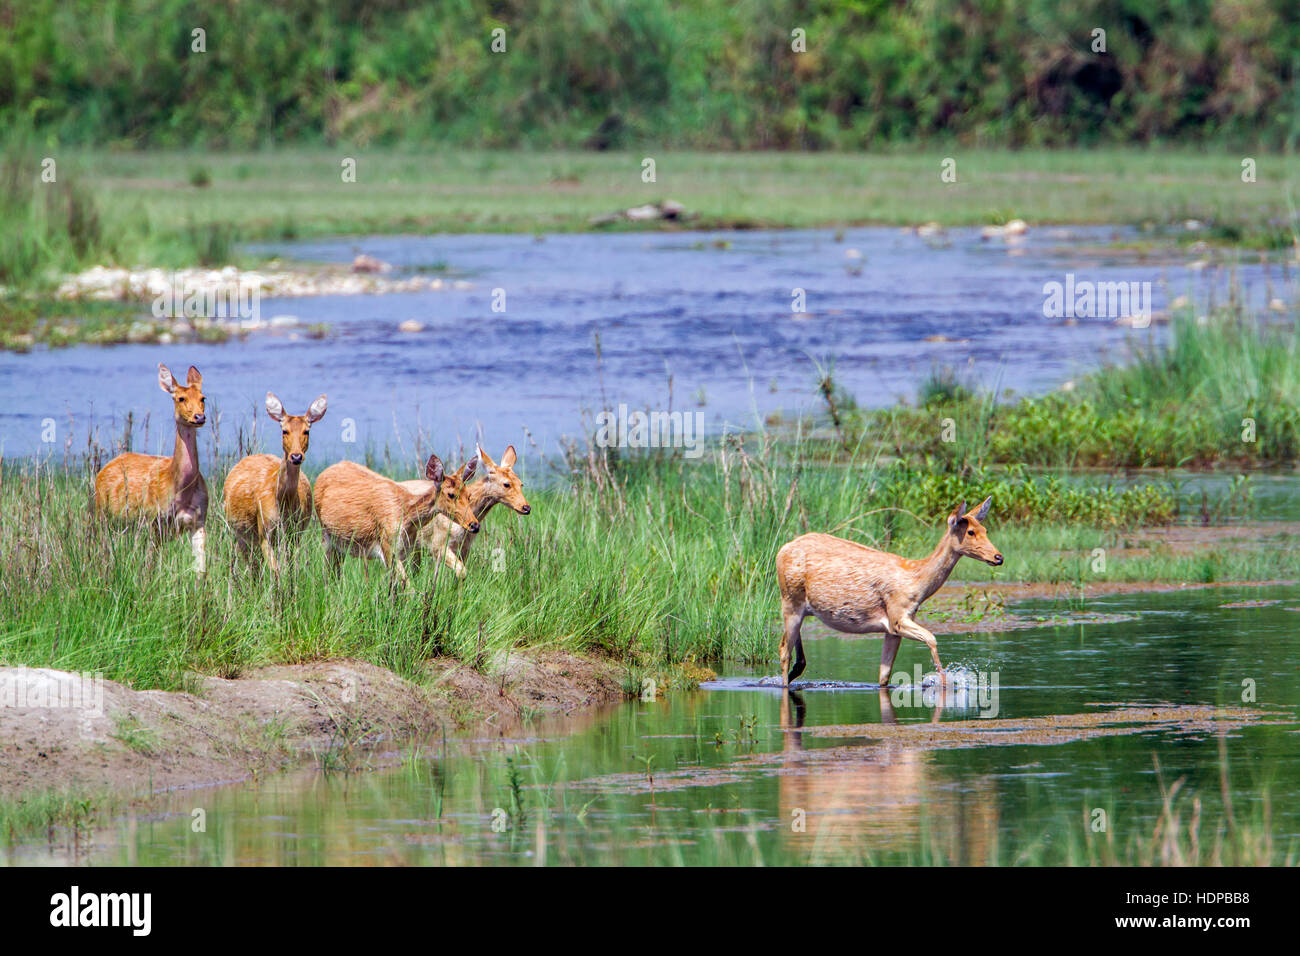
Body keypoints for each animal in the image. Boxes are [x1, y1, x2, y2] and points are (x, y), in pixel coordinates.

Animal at [93, 364, 210, 573]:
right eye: (180, 398)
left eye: (203, 397)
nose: (199, 417)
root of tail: (103, 469)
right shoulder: (154, 520)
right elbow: (150, 564)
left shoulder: (199, 519)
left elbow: (201, 568)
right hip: (102, 512)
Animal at [223, 391, 328, 574]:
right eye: (284, 430)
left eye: (306, 431)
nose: (296, 456)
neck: (284, 503)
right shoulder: (264, 529)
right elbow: (275, 570)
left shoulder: (296, 531)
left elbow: (292, 569)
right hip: (237, 531)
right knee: (249, 563)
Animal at [312, 453, 480, 586]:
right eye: (451, 494)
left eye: (469, 495)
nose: (474, 525)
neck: (406, 518)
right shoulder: (387, 545)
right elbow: (408, 585)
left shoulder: (404, 551)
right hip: (326, 536)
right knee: (328, 572)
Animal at [397, 443, 530, 579]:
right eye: (506, 484)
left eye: (521, 484)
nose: (526, 508)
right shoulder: (437, 543)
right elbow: (460, 572)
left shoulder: (465, 547)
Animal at [775, 497, 1002, 688]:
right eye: (970, 532)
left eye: (985, 529)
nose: (998, 557)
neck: (917, 582)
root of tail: (780, 551)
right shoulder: (897, 617)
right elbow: (931, 638)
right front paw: (944, 683)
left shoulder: (892, 629)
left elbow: (884, 677)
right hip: (790, 600)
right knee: (783, 649)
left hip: (801, 608)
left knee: (799, 657)